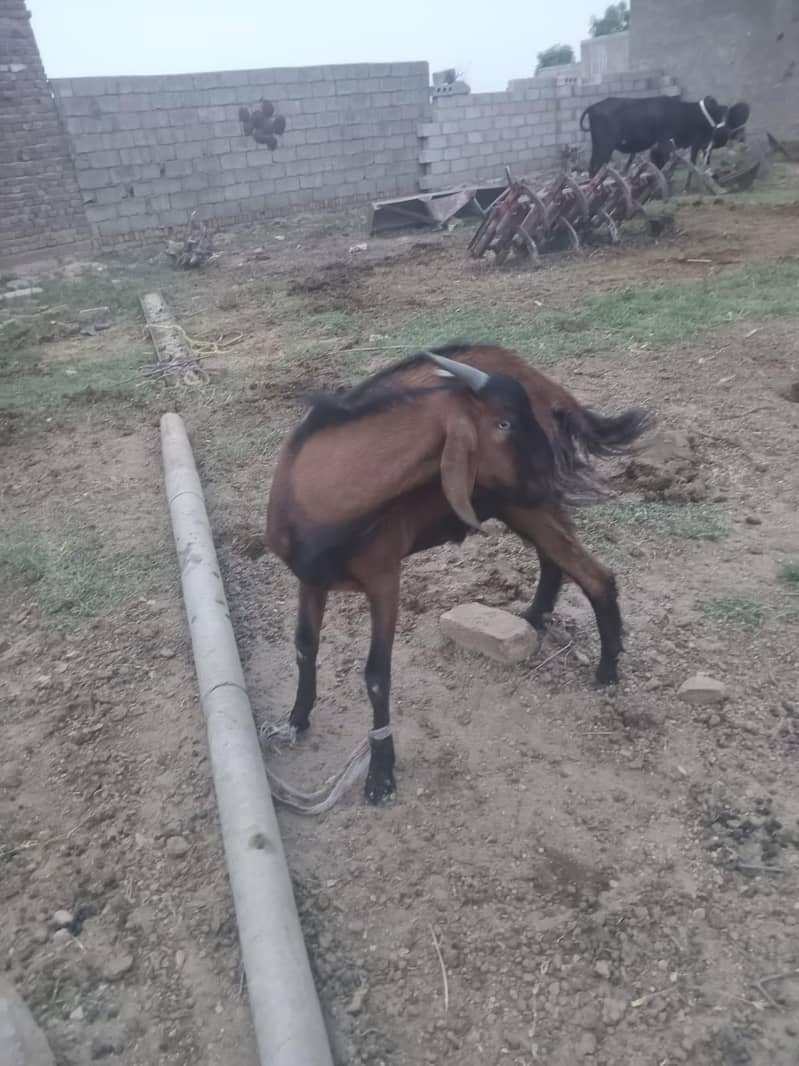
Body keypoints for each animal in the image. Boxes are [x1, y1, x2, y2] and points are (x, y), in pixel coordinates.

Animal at [266, 345, 654, 804]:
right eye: (504, 423)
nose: (553, 472)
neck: (320, 494)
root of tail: (550, 386)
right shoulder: (309, 578)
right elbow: (304, 646)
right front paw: (295, 720)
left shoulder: (384, 578)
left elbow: (377, 675)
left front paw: (381, 773)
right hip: (518, 503)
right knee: (554, 559)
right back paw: (536, 617)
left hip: (521, 503)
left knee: (594, 574)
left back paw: (607, 672)